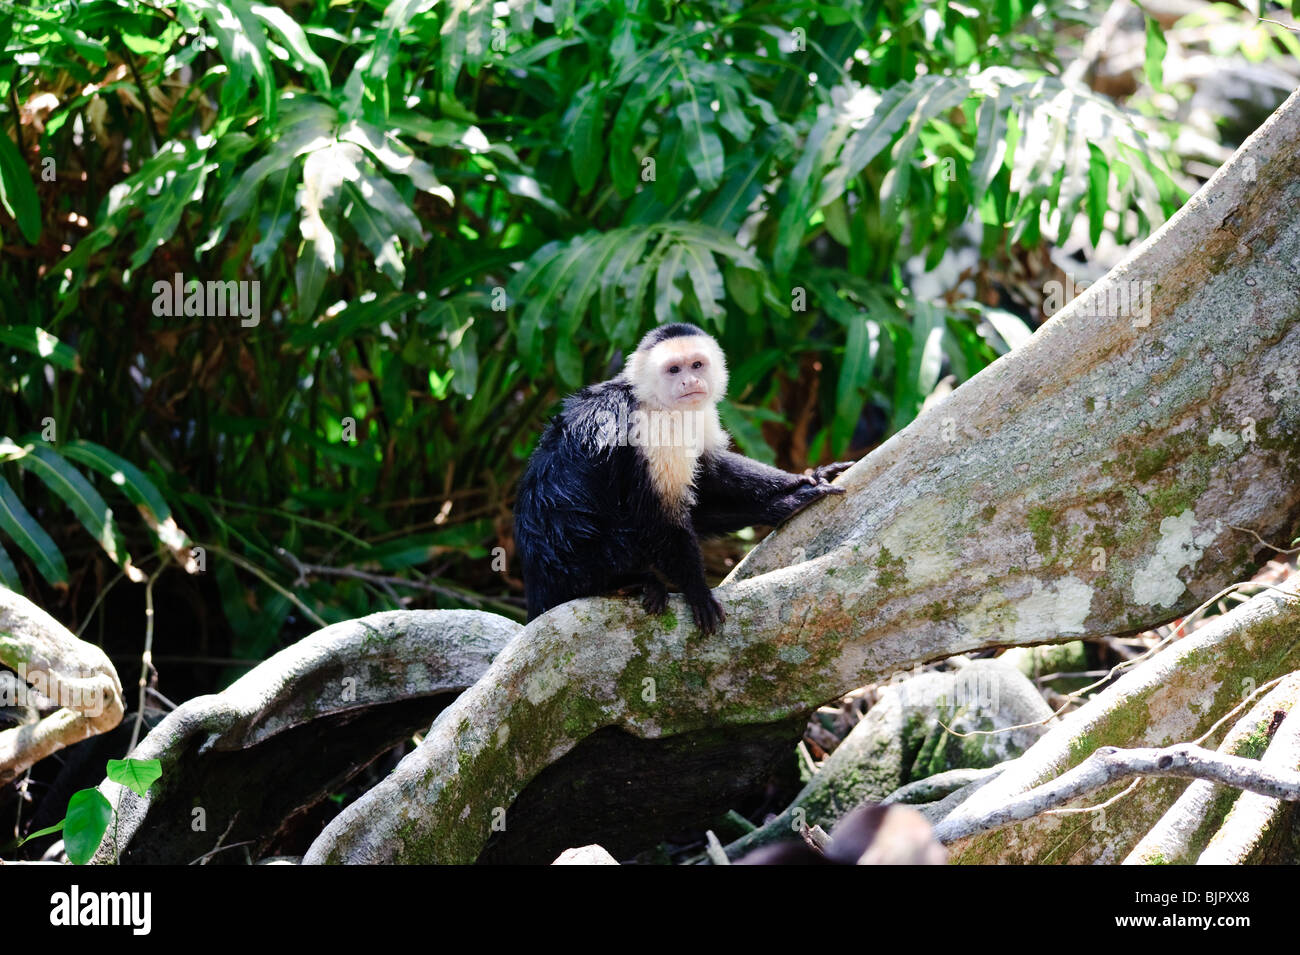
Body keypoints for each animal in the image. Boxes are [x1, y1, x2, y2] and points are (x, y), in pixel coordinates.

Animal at [513, 323, 854, 634]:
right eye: (674, 369)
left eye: (697, 365)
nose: (690, 380)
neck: (654, 400)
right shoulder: (650, 427)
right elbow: (657, 517)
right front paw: (697, 590)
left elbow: (712, 471)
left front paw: (801, 481)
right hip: (578, 561)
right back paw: (628, 583)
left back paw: (784, 507)